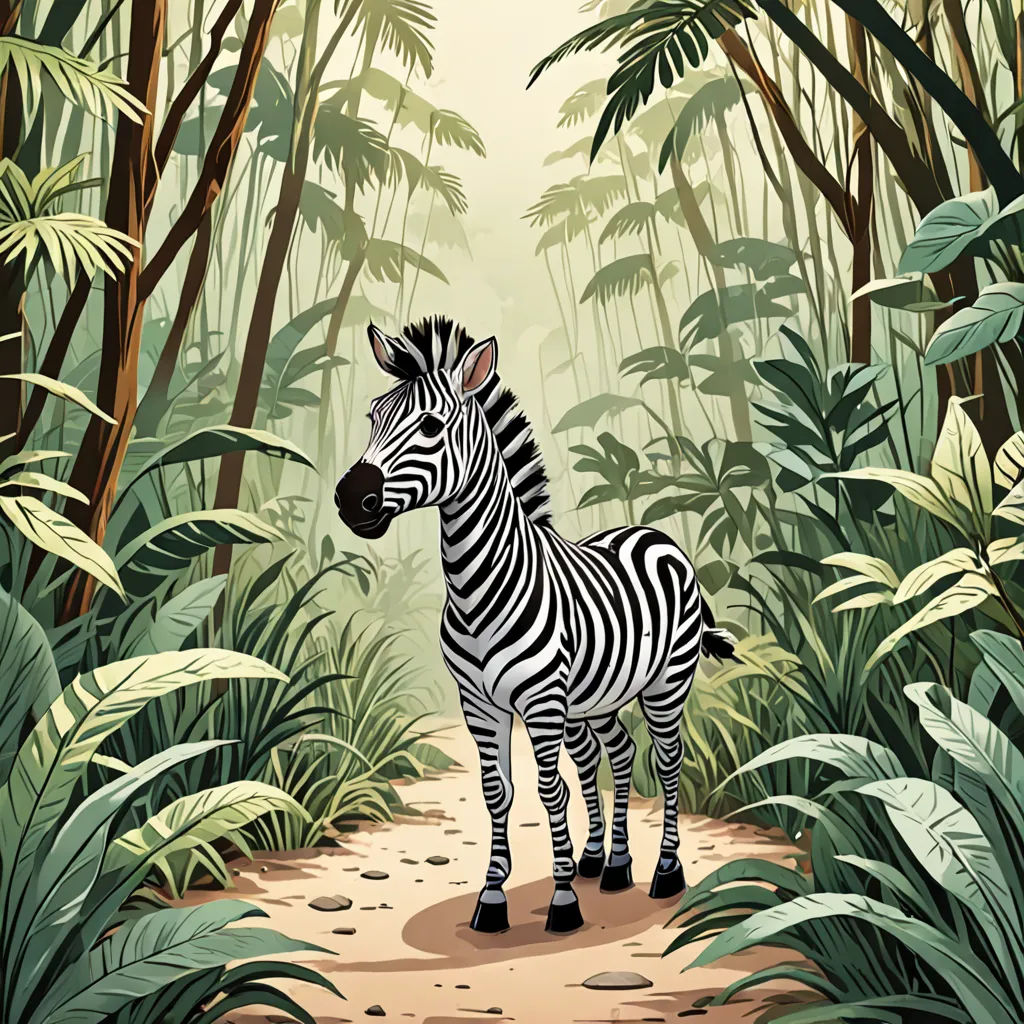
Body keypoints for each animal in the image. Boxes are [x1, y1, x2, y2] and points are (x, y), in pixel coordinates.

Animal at [335, 316, 736, 934]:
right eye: (372, 417)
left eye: (430, 425)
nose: (351, 499)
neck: (479, 589)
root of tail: (653, 533)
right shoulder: (479, 703)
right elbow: (496, 791)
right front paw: (494, 896)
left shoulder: (542, 700)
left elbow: (550, 791)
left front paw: (563, 899)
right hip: (596, 697)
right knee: (613, 753)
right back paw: (609, 863)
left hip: (665, 684)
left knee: (665, 763)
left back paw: (665, 872)